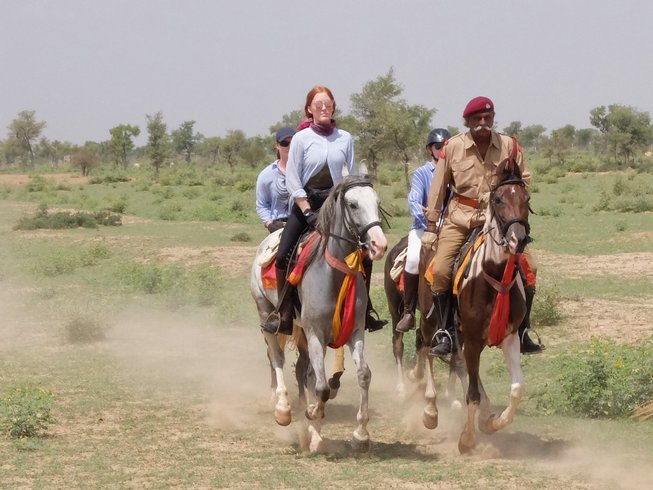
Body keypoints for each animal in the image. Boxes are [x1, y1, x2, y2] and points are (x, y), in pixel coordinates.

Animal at [250, 176, 387, 452]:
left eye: (377, 202)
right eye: (353, 204)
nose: (378, 245)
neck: (333, 274)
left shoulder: (354, 332)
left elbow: (363, 375)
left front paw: (360, 434)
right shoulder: (316, 334)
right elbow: (322, 387)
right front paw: (313, 412)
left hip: (301, 330)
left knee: (306, 371)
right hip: (266, 314)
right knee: (277, 358)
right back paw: (283, 410)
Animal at [384, 236, 468, 429]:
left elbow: (455, 358)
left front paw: (452, 397)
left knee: (418, 338)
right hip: (396, 311)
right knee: (398, 345)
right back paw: (401, 388)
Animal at [455, 158, 532, 453]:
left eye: (526, 198)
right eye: (498, 199)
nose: (518, 239)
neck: (495, 276)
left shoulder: (510, 338)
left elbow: (517, 388)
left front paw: (493, 422)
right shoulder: (473, 340)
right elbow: (472, 394)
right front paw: (466, 439)